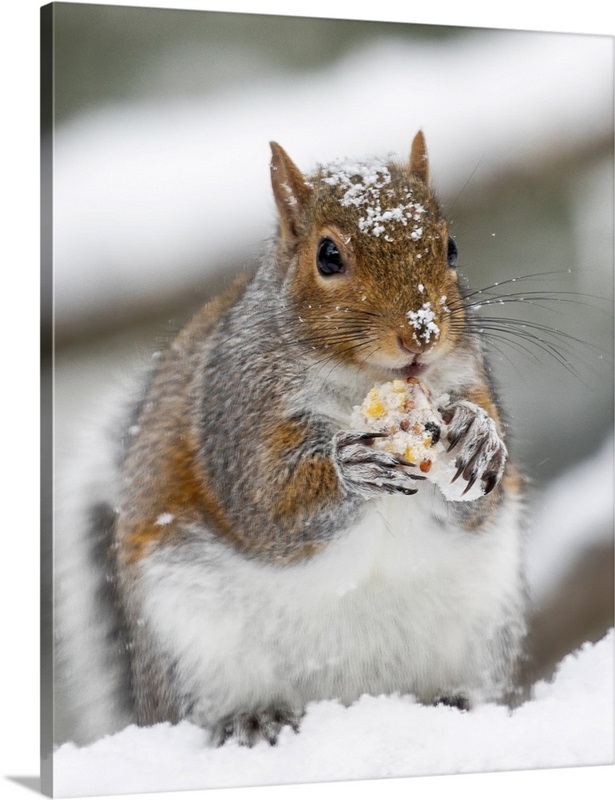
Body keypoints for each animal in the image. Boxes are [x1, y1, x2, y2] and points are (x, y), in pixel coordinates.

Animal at [57, 131, 526, 748]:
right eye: (328, 256)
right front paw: (351, 468)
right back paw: (251, 719)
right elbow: (268, 505)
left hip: (484, 619)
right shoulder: (236, 413)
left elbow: (477, 500)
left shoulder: (469, 376)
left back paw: (454, 701)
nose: (421, 335)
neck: (362, 384)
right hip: (190, 641)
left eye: (450, 247)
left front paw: (476, 434)